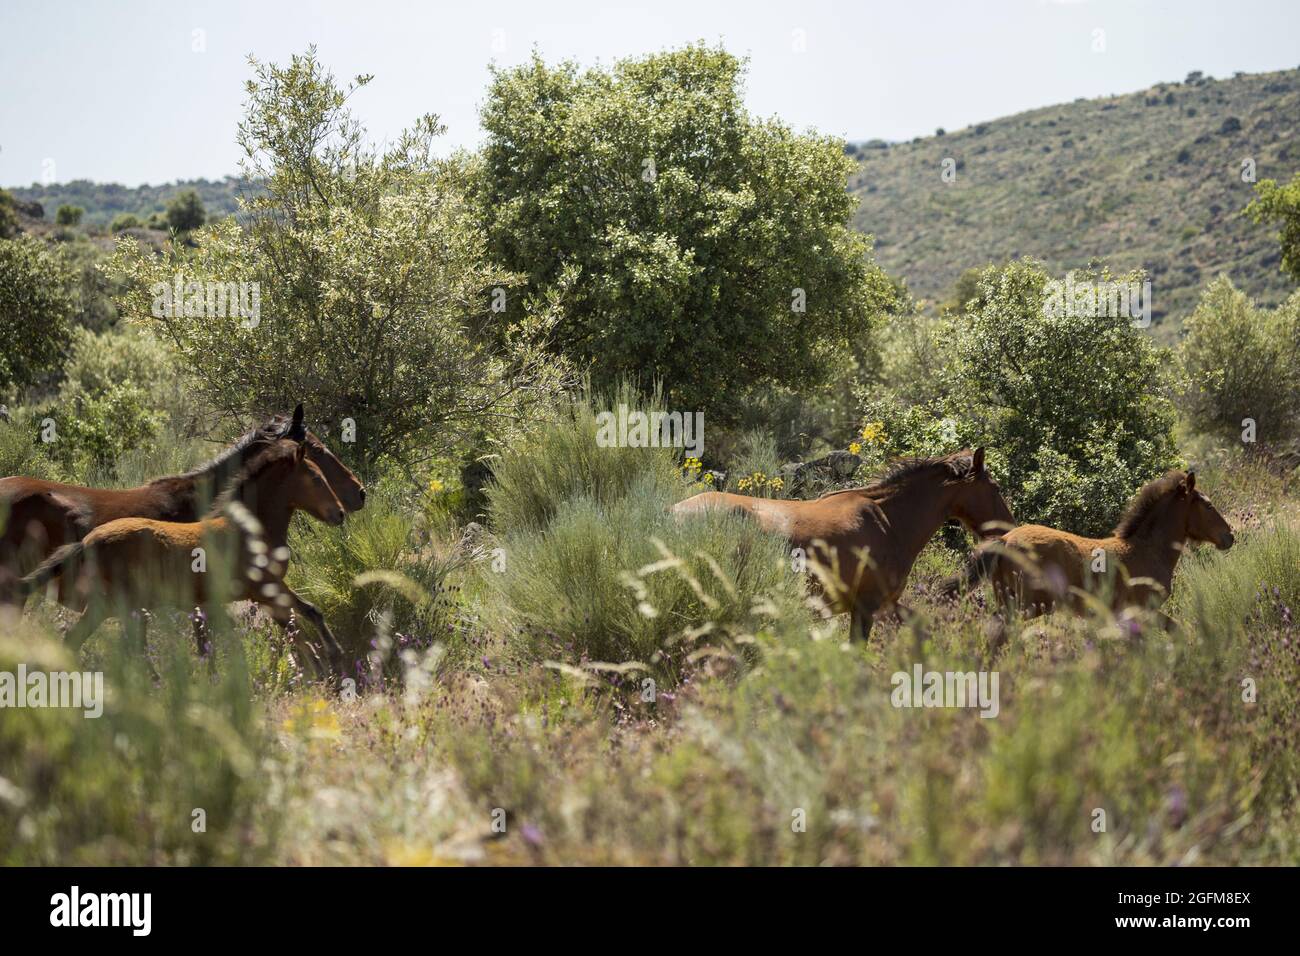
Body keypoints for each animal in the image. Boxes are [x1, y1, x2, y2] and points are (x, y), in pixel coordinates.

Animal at [15, 437, 347, 670]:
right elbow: (308, 614)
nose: (340, 513)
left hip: (107, 605)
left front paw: (321, 669)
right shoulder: (264, 587)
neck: (250, 528)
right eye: (316, 479)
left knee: (76, 641)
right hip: (122, 603)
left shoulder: (265, 593)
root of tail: (87, 542)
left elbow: (299, 625)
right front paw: (333, 657)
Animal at [672, 448, 1014, 641]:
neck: (890, 521)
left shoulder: (885, 605)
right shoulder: (866, 606)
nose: (1010, 528)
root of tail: (673, 512)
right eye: (996, 487)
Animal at [945, 470, 1233, 620]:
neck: (1147, 549)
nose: (1229, 536)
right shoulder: (1140, 610)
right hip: (1026, 605)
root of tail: (1005, 540)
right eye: (1208, 506)